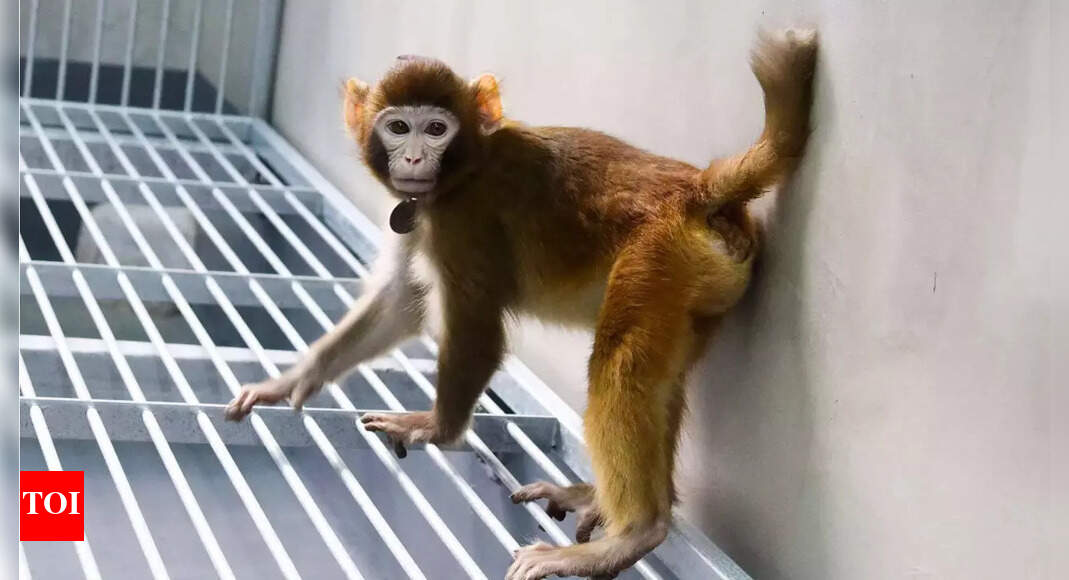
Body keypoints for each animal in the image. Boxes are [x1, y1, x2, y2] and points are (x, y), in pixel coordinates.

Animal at [225, 29, 817, 580]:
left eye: (435, 129)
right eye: (397, 127)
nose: (413, 156)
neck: (467, 167)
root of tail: (696, 190)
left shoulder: (465, 219)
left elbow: (478, 331)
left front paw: (438, 428)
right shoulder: (422, 213)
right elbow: (400, 302)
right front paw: (293, 380)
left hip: (658, 257)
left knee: (621, 366)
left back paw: (634, 532)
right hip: (697, 284)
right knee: (658, 379)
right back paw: (611, 501)